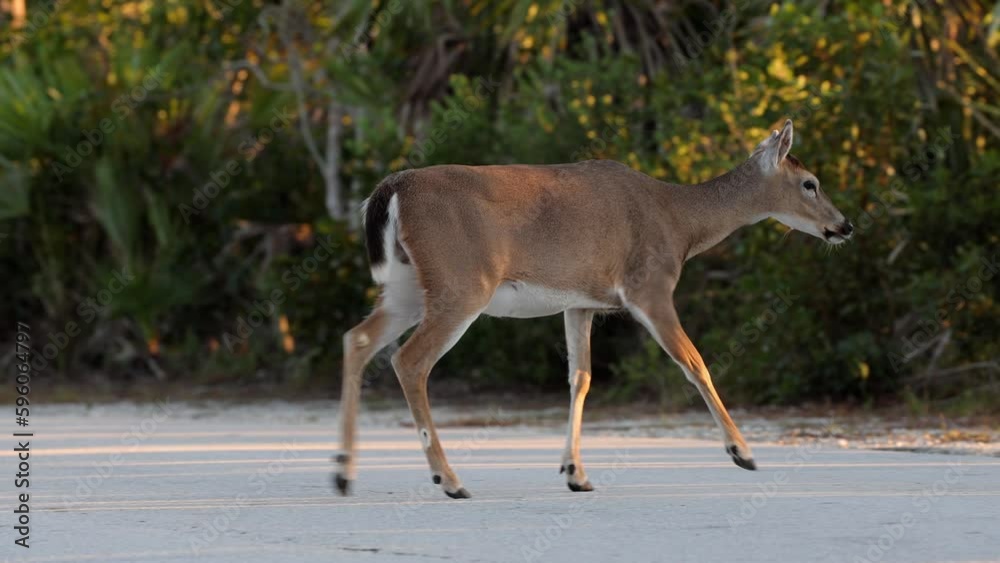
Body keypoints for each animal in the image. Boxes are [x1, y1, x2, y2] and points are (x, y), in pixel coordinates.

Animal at [334, 119, 853, 498]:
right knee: (409, 360)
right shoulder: (649, 287)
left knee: (357, 338)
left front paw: (575, 473)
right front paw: (742, 452)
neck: (680, 222)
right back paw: (450, 480)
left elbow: (580, 378)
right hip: (461, 283)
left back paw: (344, 473)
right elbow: (695, 362)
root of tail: (391, 189)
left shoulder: (580, 302)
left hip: (407, 286)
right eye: (810, 183)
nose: (845, 225)